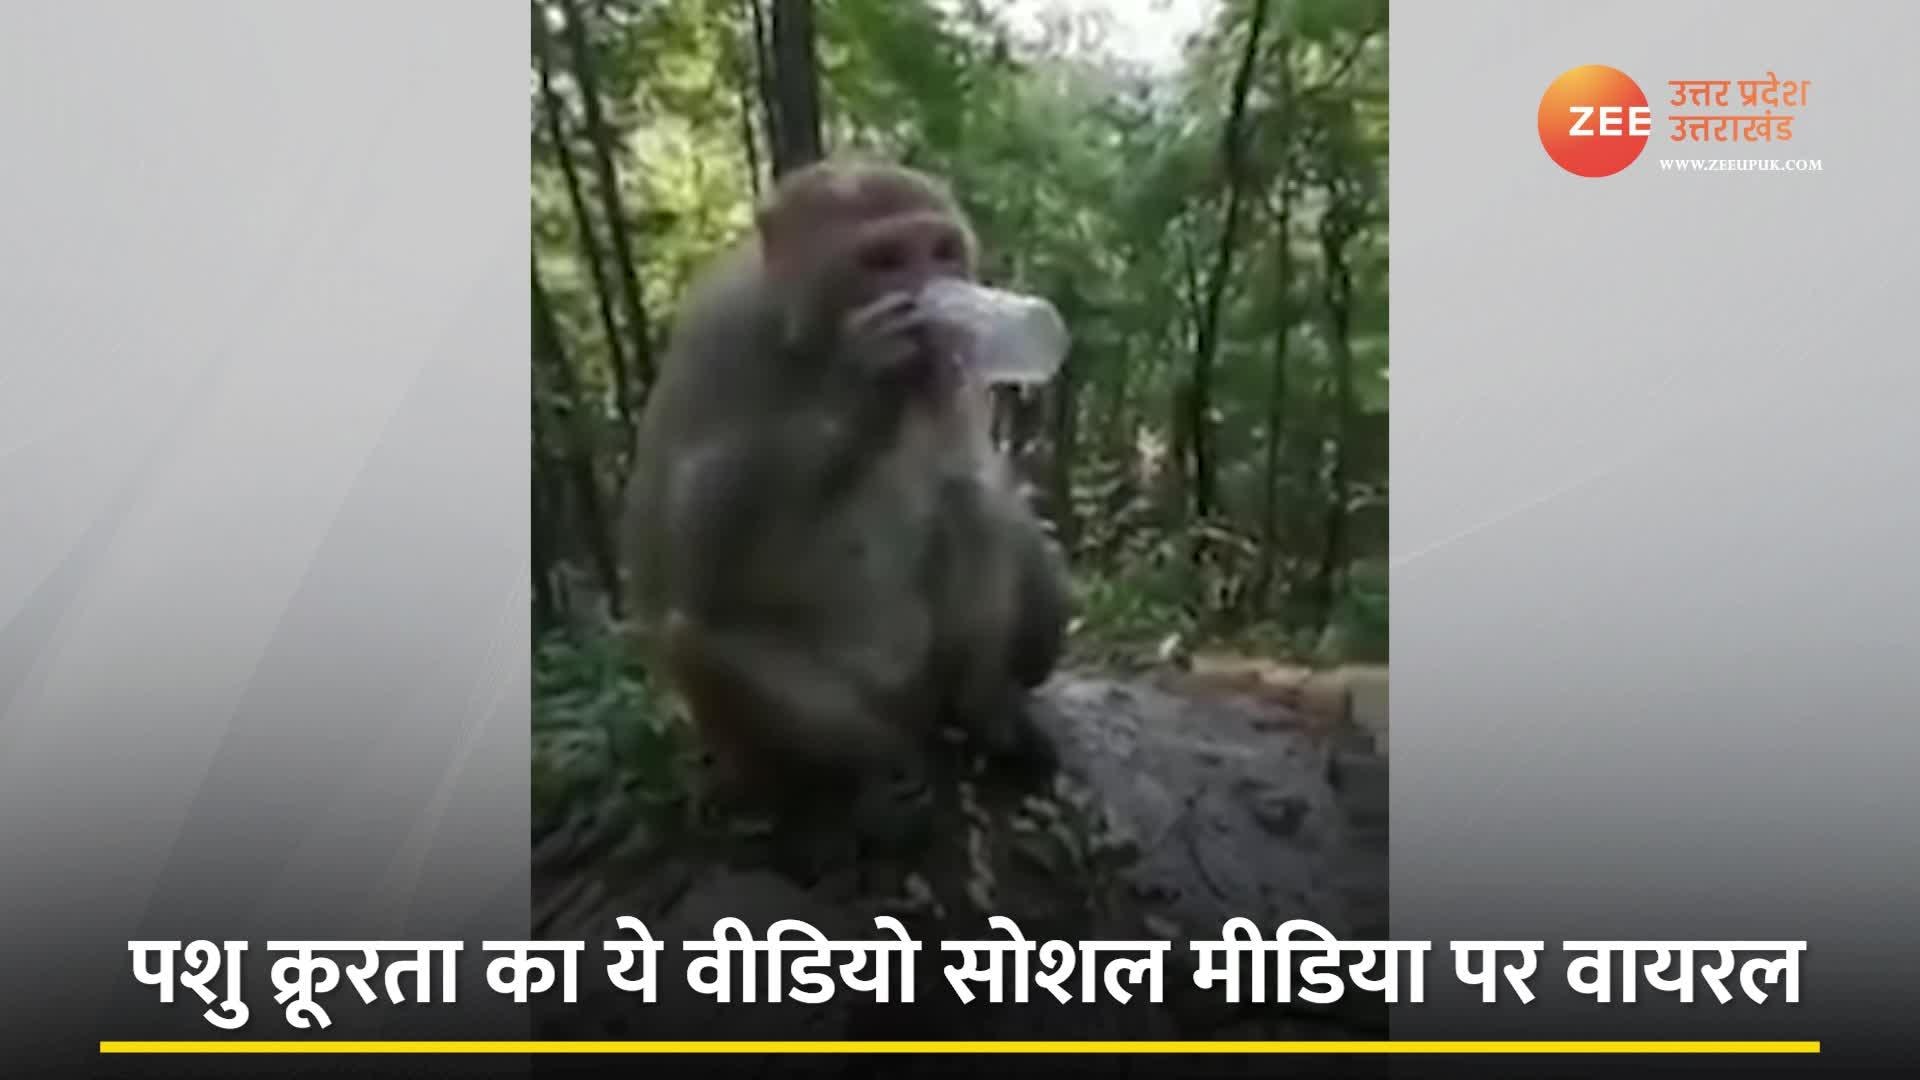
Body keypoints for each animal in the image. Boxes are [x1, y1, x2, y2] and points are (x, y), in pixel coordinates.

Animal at [619, 159, 1071, 852]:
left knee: (967, 510)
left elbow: (969, 478)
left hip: (934, 674)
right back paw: (873, 770)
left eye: (941, 250)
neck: (814, 340)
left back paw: (984, 706)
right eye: (884, 259)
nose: (931, 287)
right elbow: (685, 552)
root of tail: (920, 711)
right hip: (858, 706)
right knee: (700, 643)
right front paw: (864, 381)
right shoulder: (716, 334)